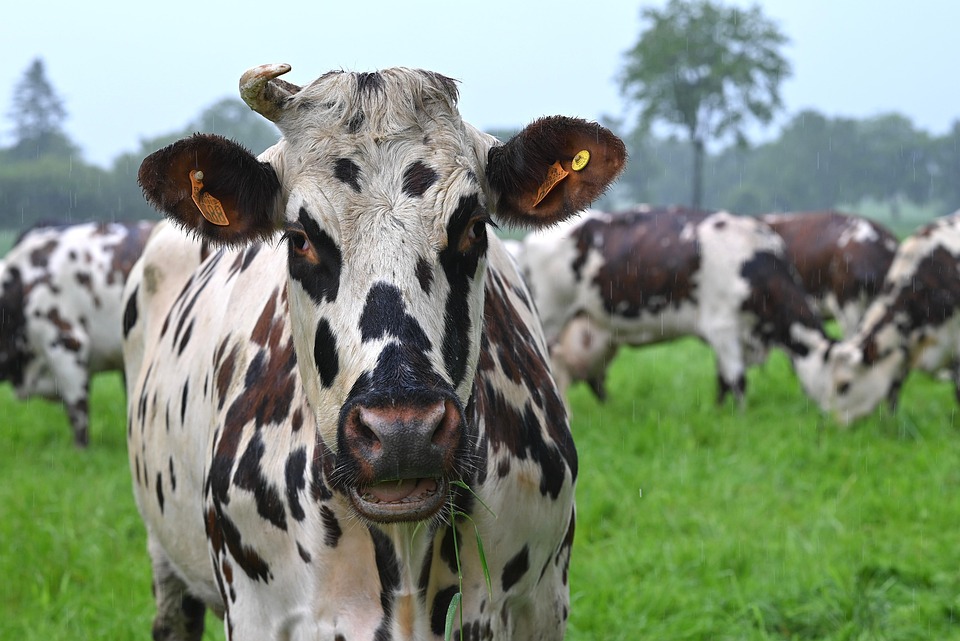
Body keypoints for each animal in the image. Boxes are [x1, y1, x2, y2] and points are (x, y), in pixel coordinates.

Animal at [514, 206, 830, 405]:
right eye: (840, 385)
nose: (840, 429)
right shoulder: (723, 327)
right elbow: (737, 380)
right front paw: (740, 419)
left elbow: (723, 379)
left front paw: (719, 411)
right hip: (547, 317)